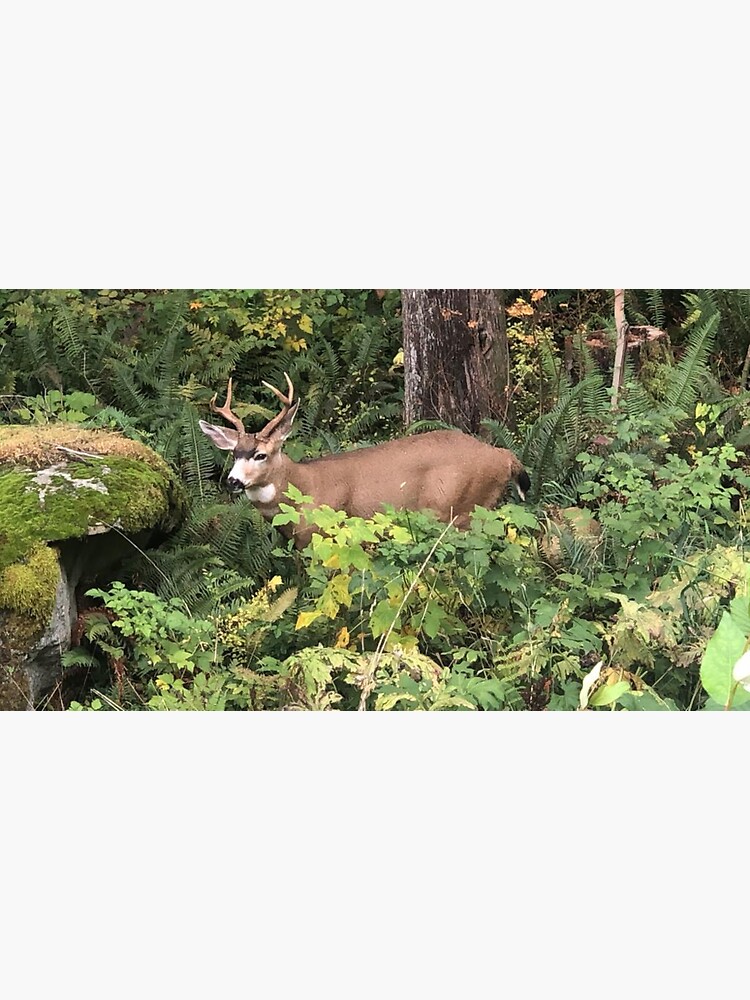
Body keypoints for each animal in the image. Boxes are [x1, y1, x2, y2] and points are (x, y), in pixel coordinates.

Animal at [199, 374, 531, 549]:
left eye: (261, 454)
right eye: (234, 453)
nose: (232, 481)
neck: (304, 486)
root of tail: (505, 457)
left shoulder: (328, 534)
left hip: (462, 509)